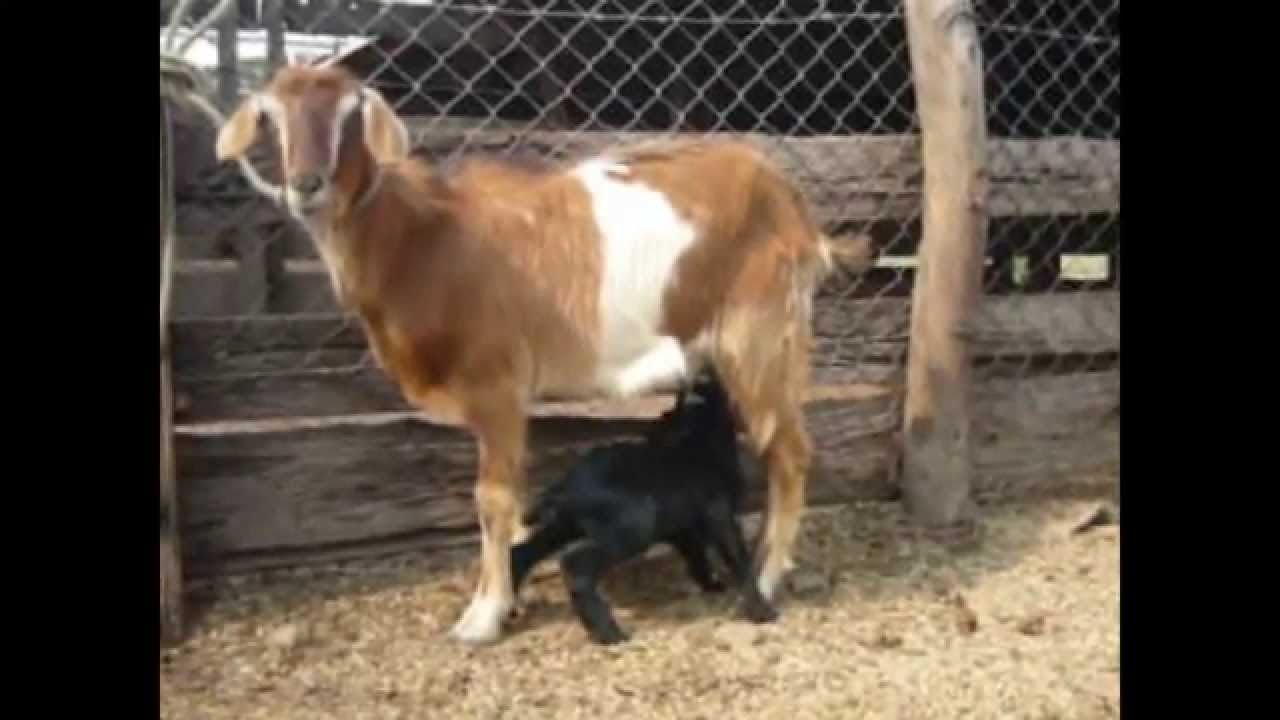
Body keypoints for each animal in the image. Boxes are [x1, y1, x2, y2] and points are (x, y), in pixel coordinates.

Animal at [510, 368, 775, 644]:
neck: (696, 442)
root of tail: (565, 488)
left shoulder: (682, 530)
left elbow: (697, 558)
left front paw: (712, 586)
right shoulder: (719, 514)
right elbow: (737, 558)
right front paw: (761, 611)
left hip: (563, 525)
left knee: (520, 553)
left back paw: (510, 612)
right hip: (631, 529)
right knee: (576, 565)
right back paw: (609, 632)